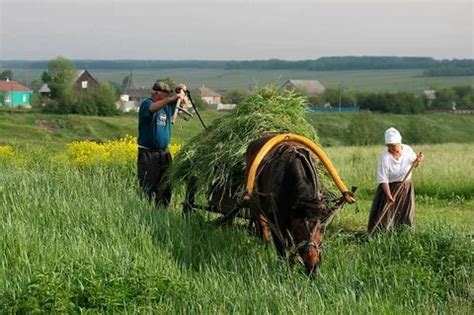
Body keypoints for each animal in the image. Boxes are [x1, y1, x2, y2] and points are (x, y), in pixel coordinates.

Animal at [244, 135, 330, 278]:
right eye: (298, 230)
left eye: (321, 229)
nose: (312, 269)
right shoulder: (276, 218)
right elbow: (282, 246)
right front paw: (283, 270)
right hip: (255, 203)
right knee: (262, 225)